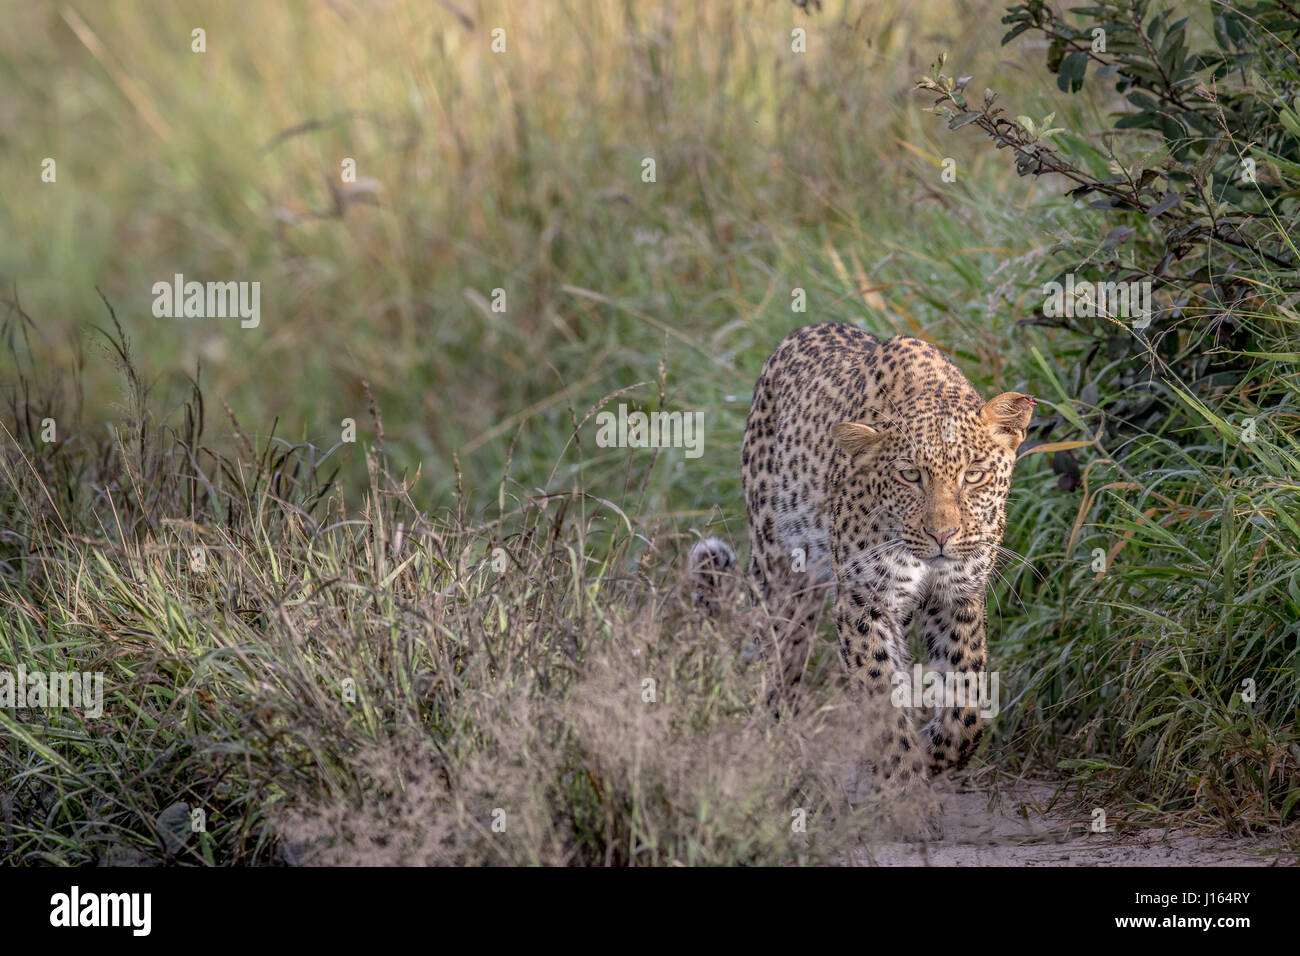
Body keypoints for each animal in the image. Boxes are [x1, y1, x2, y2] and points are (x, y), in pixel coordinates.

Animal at [693, 321, 1034, 791]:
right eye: (910, 475)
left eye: (974, 475)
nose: (942, 535)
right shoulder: (864, 602)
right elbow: (880, 694)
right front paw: (903, 784)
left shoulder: (958, 595)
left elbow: (968, 699)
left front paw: (935, 753)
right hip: (779, 570)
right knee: (780, 662)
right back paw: (780, 750)